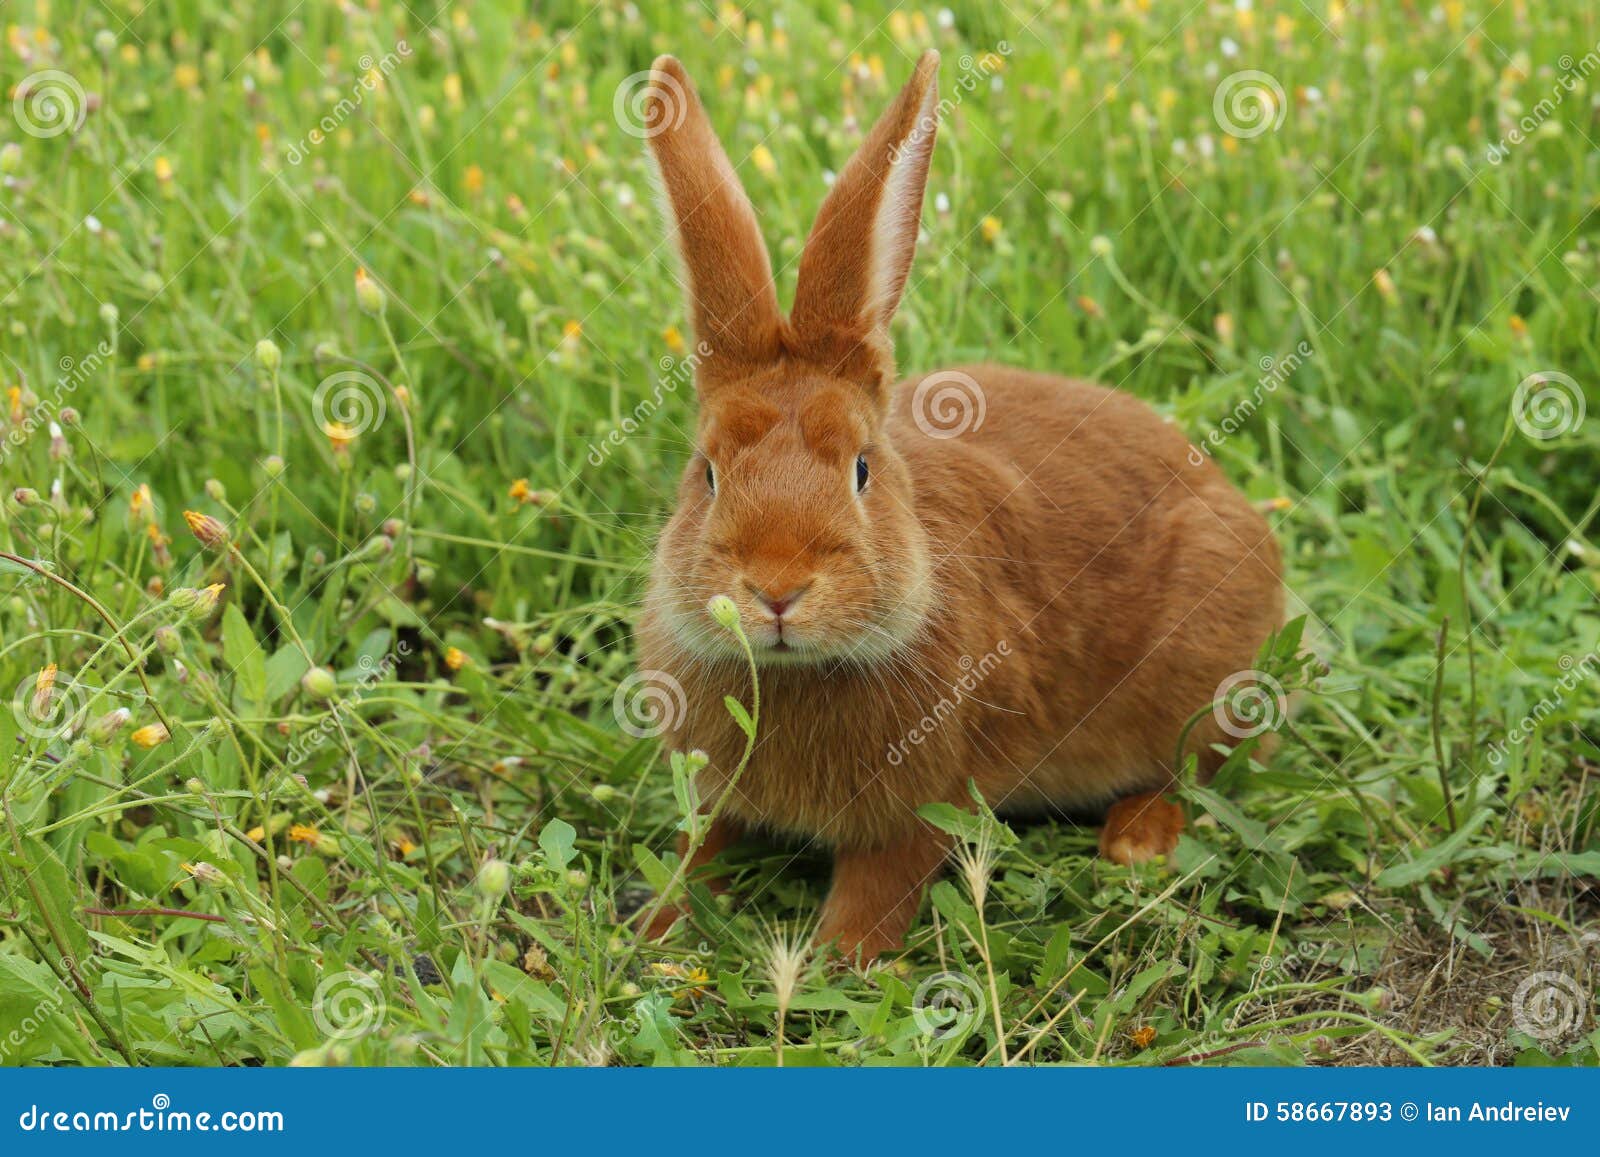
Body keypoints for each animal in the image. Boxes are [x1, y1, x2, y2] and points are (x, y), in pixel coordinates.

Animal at [634, 51, 1283, 959]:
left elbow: (881, 884)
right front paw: (654, 929)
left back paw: (1135, 840)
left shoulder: (923, 802)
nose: (777, 589)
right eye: (708, 474)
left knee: (1199, 768)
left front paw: (838, 958)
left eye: (862, 469)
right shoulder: (717, 791)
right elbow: (699, 849)